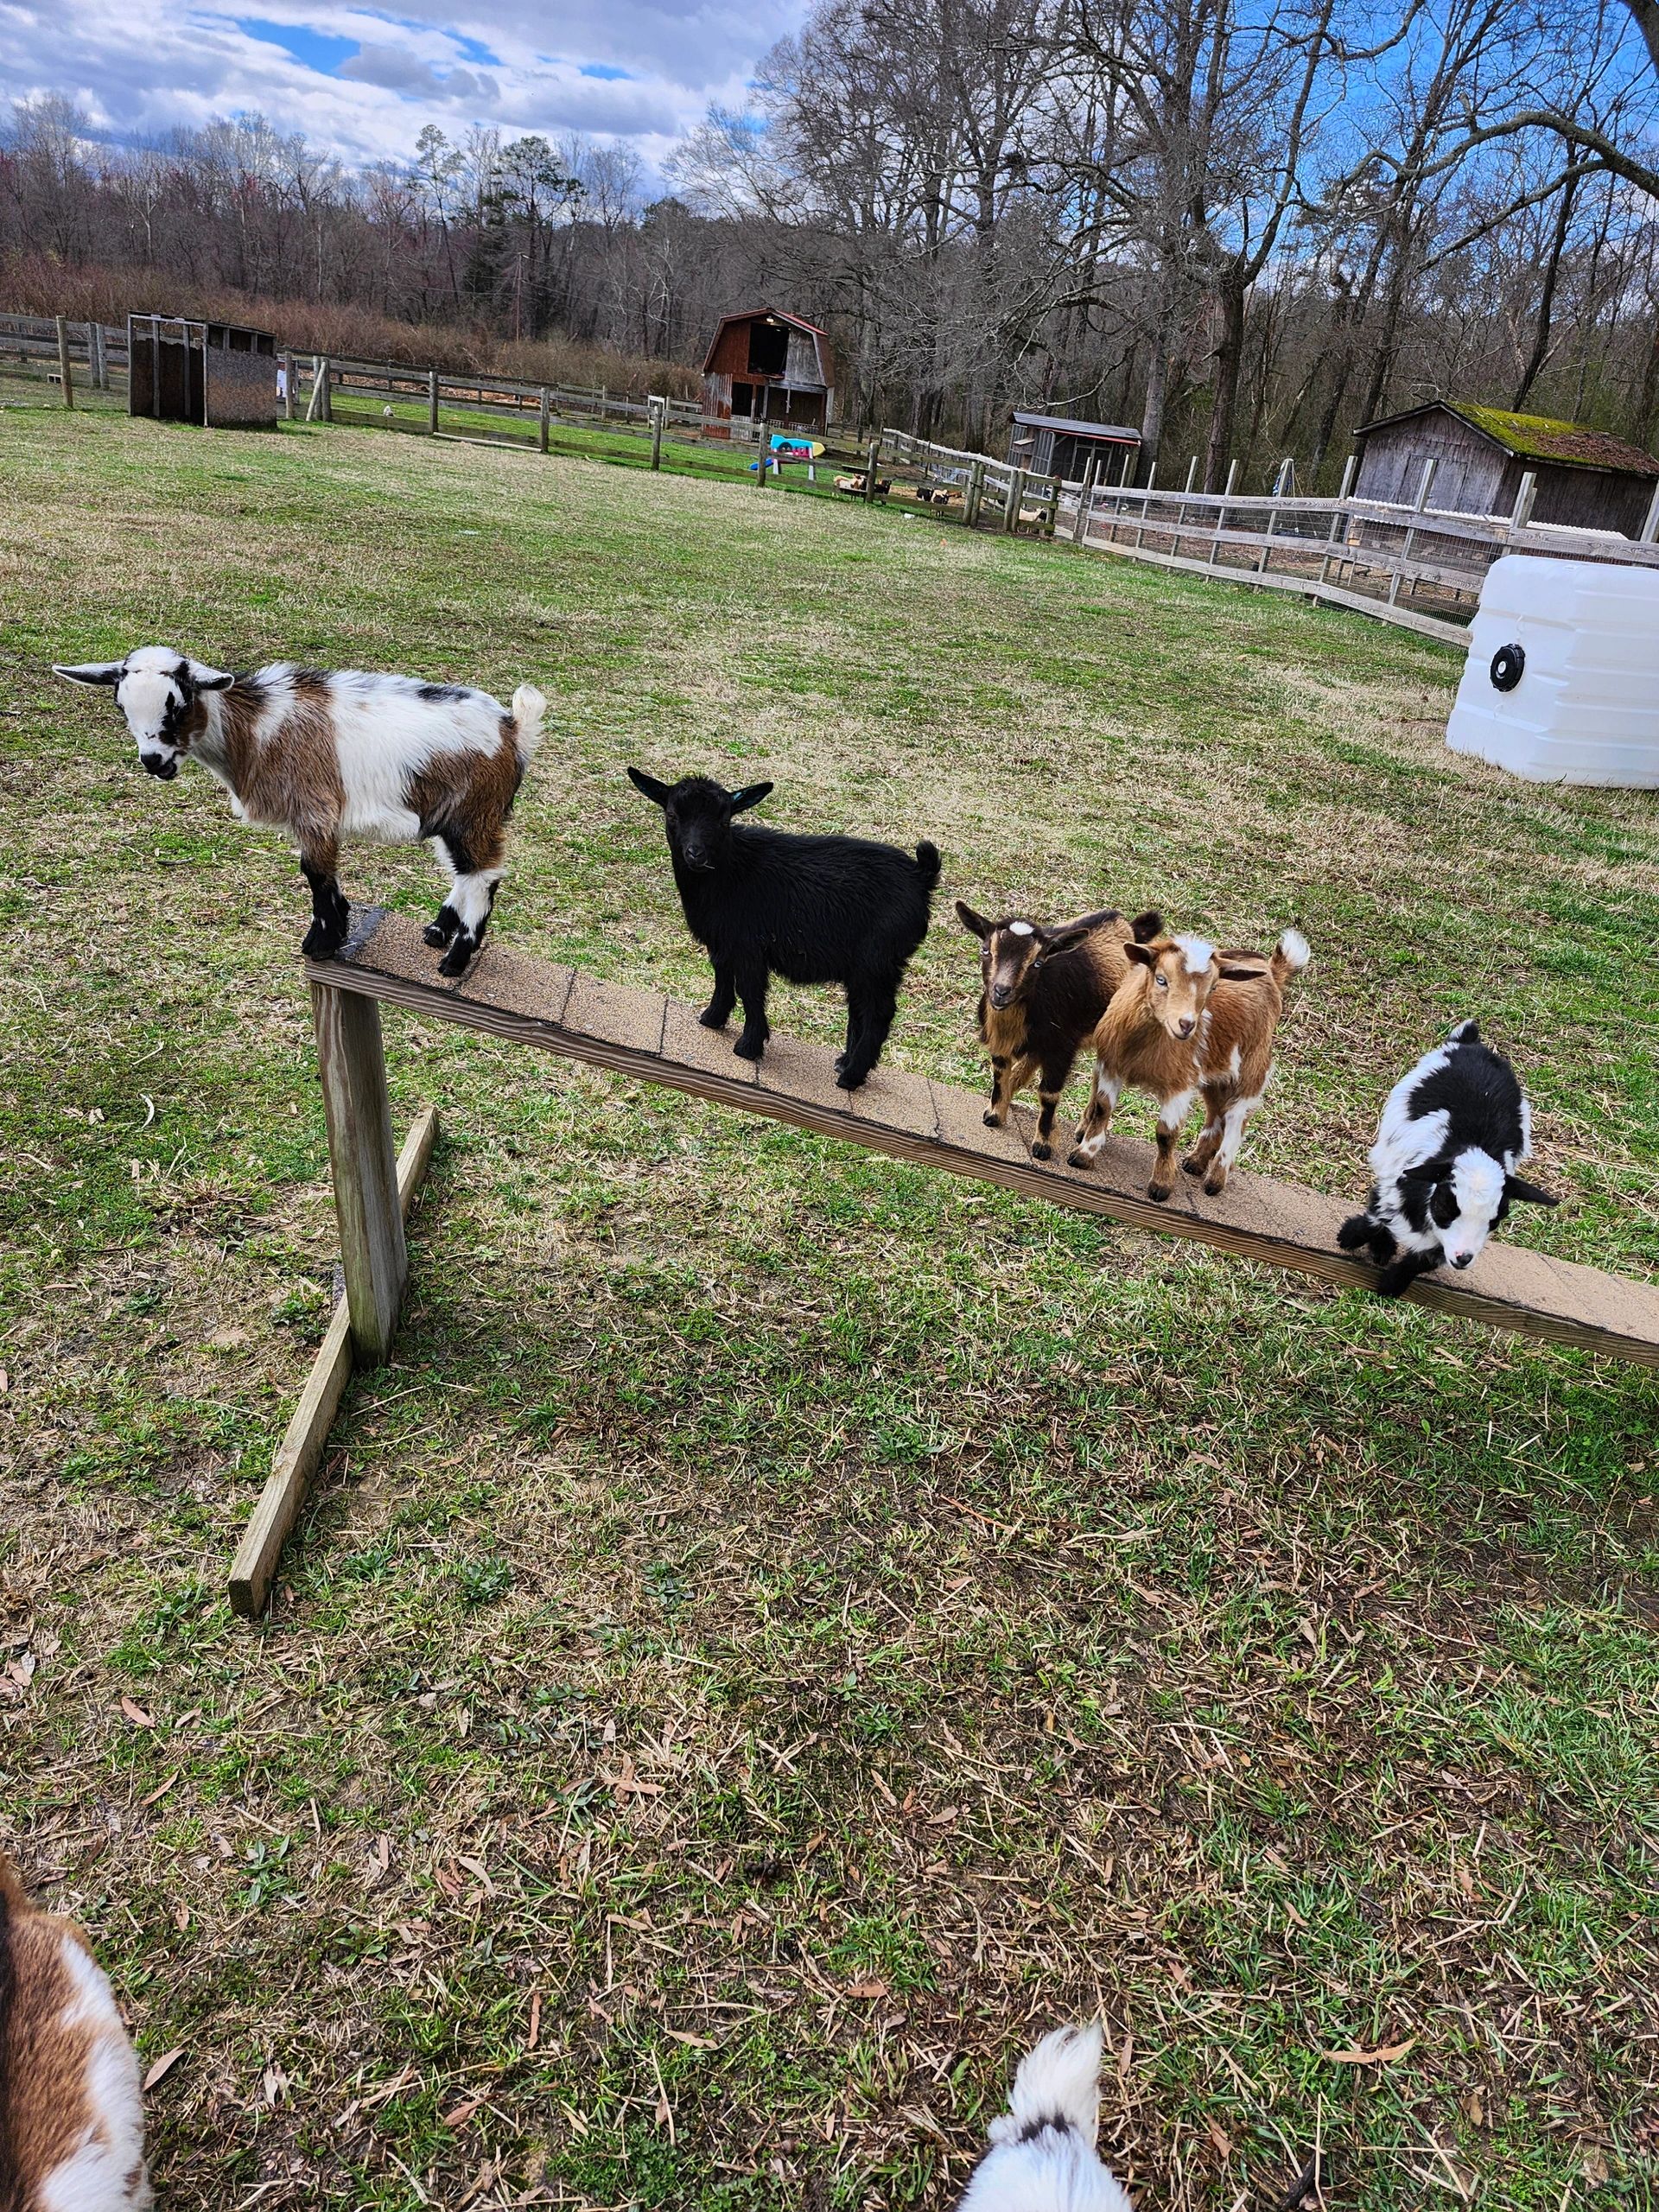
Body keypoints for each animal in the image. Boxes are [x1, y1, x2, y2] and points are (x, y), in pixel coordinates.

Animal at [53, 647, 545, 976]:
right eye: (121, 704)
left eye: (178, 702)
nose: (153, 761)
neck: (255, 730)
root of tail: (513, 728)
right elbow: (320, 875)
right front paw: (337, 928)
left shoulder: (315, 811)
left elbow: (315, 873)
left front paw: (322, 941)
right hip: (448, 815)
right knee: (463, 873)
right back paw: (438, 931)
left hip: (474, 812)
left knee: (483, 874)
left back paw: (456, 958)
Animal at [627, 769, 940, 1090]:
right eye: (672, 815)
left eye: (724, 821)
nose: (696, 854)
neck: (730, 869)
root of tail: (921, 876)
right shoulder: (722, 943)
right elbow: (723, 978)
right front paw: (712, 1019)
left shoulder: (749, 946)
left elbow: (750, 990)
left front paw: (749, 1046)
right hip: (865, 966)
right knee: (860, 1008)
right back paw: (844, 1063)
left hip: (878, 959)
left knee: (879, 1013)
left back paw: (852, 1076)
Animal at [956, 902, 1162, 1158]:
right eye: (986, 950)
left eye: (1037, 963)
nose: (1001, 991)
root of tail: (1130, 927)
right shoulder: (1002, 1042)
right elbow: (1000, 1074)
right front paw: (994, 1114)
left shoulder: (1062, 1049)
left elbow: (1048, 1094)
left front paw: (1043, 1146)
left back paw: (1085, 1130)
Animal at [1068, 928, 1310, 1200]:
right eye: (1161, 979)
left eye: (1213, 987)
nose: (1186, 1025)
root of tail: (1272, 971)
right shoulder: (1111, 1066)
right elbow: (1103, 1108)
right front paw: (1083, 1155)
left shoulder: (1180, 1084)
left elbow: (1166, 1134)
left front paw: (1161, 1185)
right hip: (1216, 1076)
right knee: (1217, 1114)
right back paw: (1196, 1163)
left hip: (1252, 1069)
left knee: (1236, 1119)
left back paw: (1215, 1180)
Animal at [1337, 1020, 1557, 1295]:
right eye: (1446, 1205)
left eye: (1496, 1219)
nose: (1464, 1258)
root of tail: (1472, 1044)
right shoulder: (1397, 1182)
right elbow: (1377, 1216)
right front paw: (1351, 1237)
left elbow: (1424, 1259)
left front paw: (1393, 1284)